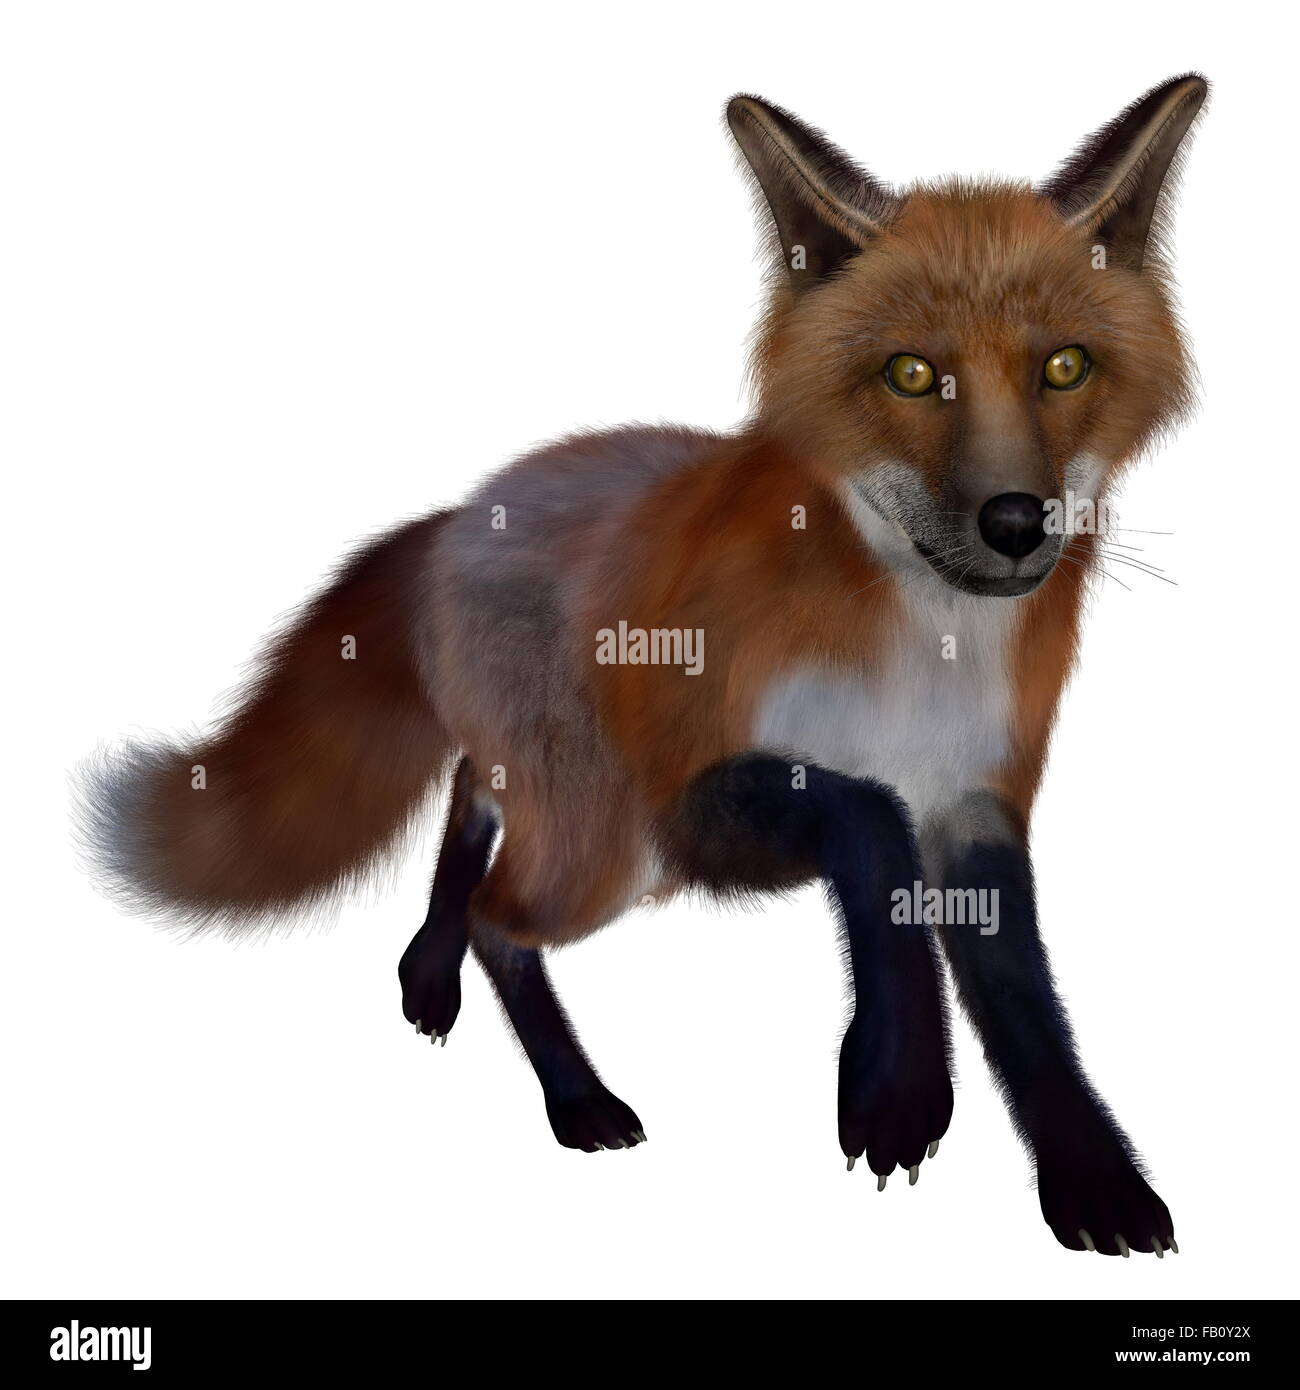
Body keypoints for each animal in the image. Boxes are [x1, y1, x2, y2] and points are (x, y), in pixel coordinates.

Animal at [80, 74, 1206, 1256]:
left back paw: (427, 964)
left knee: (471, 792)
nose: (1016, 524)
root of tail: (465, 509)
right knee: (502, 915)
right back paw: (571, 1092)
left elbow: (1030, 1009)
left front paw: (1093, 1177)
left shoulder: (976, 803)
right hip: (616, 842)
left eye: (1064, 367)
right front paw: (895, 1083)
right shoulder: (695, 791)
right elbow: (865, 820)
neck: (912, 662)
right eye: (911, 374)